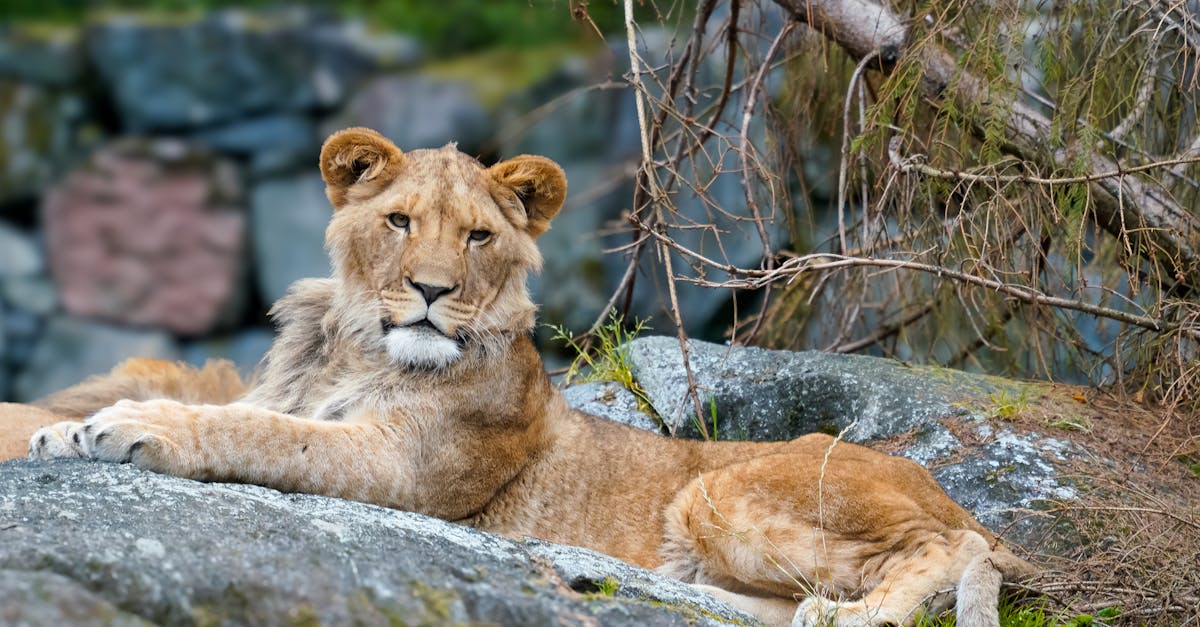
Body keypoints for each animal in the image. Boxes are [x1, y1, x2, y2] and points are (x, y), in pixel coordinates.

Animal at [2, 127, 1032, 624]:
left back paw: (856, 615)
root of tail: (946, 487)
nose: (429, 291)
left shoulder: (404, 469)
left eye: (478, 237)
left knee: (946, 553)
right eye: (400, 222)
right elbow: (258, 412)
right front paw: (57, 431)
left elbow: (265, 430)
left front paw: (136, 425)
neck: (355, 343)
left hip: (724, 490)